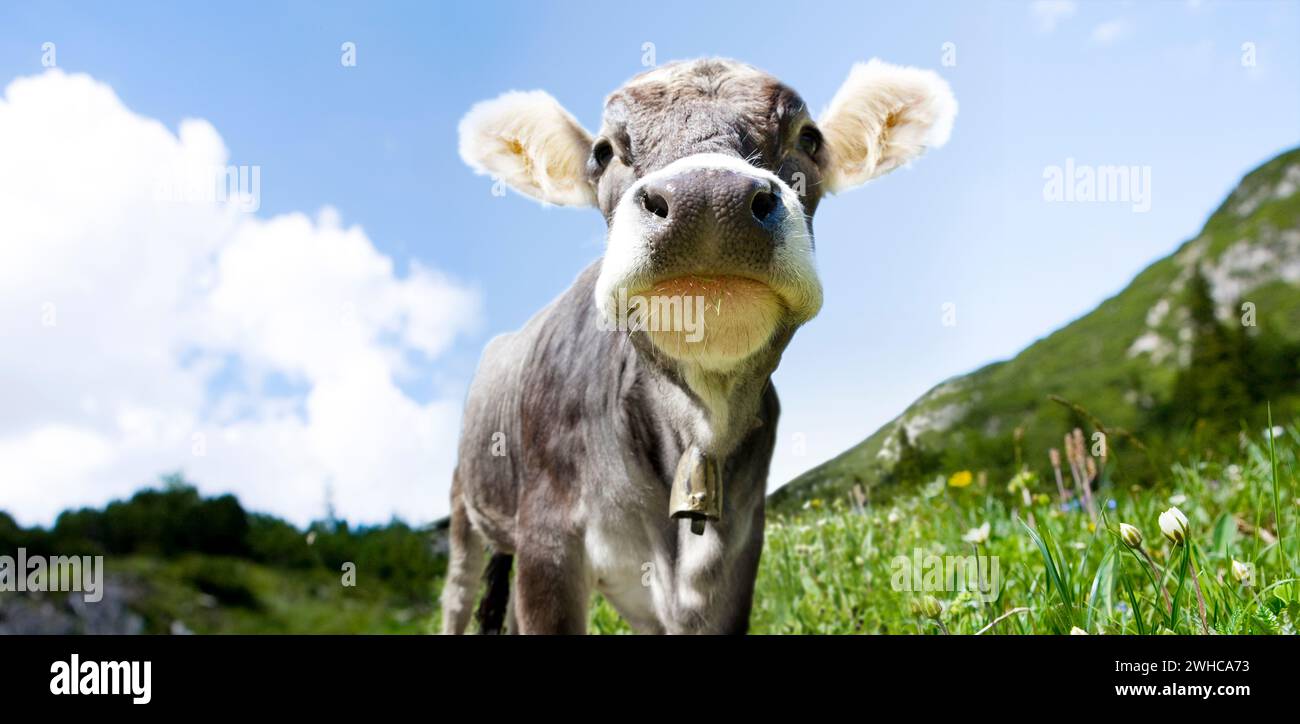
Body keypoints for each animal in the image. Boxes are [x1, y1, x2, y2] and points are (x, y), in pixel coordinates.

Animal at [441, 58, 955, 634]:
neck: (697, 427)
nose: (708, 199)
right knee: (458, 595)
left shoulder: (737, 549)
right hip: (465, 510)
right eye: (603, 151)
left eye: (809, 137)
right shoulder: (548, 542)